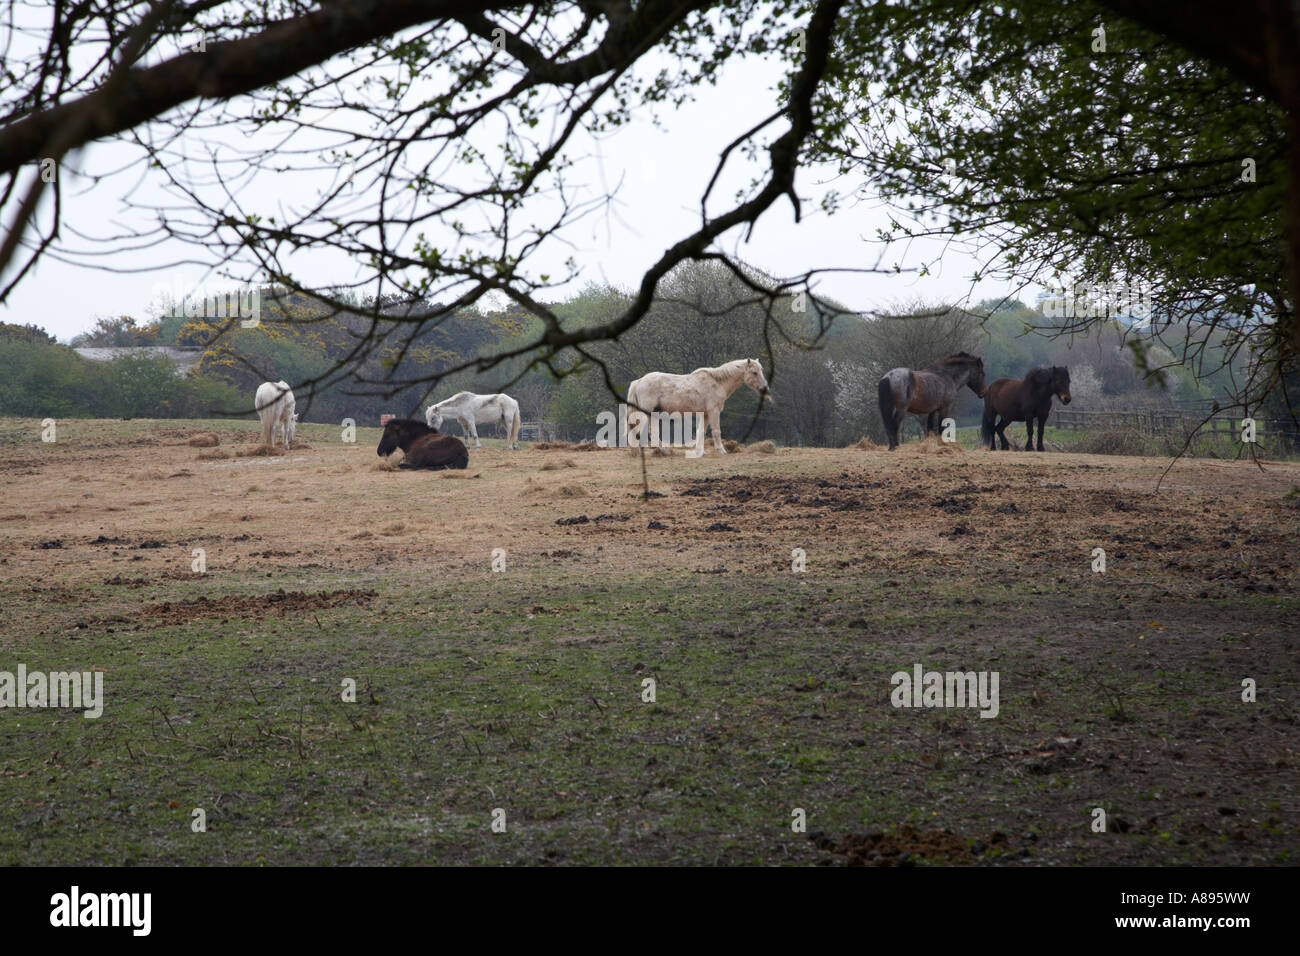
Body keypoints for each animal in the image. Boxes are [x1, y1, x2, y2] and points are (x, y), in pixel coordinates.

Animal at [626, 358, 771, 459]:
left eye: (761, 371)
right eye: (754, 372)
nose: (764, 388)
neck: (717, 382)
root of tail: (639, 381)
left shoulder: (705, 414)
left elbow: (701, 432)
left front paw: (700, 452)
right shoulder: (714, 411)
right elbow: (716, 431)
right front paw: (722, 450)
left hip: (653, 414)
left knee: (652, 434)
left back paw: (664, 451)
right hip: (646, 414)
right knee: (638, 431)